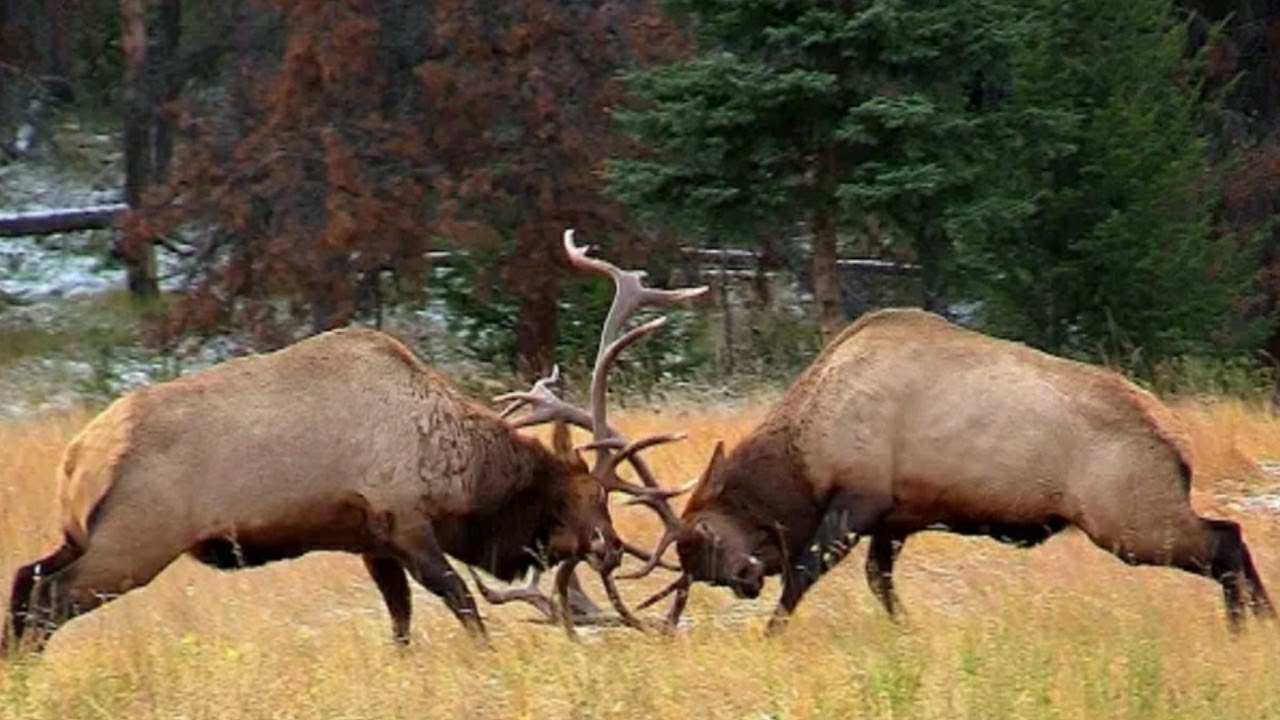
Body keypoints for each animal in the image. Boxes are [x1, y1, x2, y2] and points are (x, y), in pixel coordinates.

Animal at [2, 228, 704, 654]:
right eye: (595, 497)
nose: (610, 547)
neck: (461, 475)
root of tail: (80, 457)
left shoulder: (370, 542)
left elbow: (401, 624)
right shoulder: (405, 520)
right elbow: (461, 602)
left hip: (84, 534)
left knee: (25, 578)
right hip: (137, 539)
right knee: (49, 596)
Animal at [633, 308, 1276, 634]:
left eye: (701, 538)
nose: (742, 581)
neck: (803, 458)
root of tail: (1176, 441)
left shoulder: (858, 498)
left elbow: (802, 577)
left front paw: (771, 633)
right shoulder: (895, 519)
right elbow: (880, 583)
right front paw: (907, 633)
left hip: (1127, 521)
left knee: (1225, 539)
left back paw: (1246, 628)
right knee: (1230, 539)